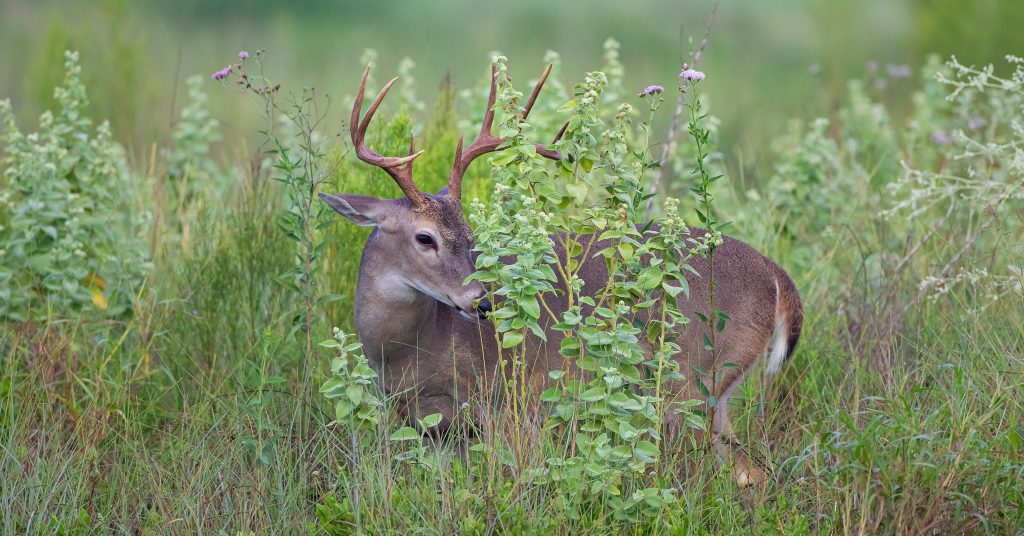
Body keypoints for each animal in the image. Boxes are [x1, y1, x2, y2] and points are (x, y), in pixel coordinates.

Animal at [319, 62, 803, 486]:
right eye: (425, 238)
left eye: (470, 236)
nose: (484, 301)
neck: (405, 349)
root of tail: (776, 276)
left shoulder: (503, 400)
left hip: (695, 379)